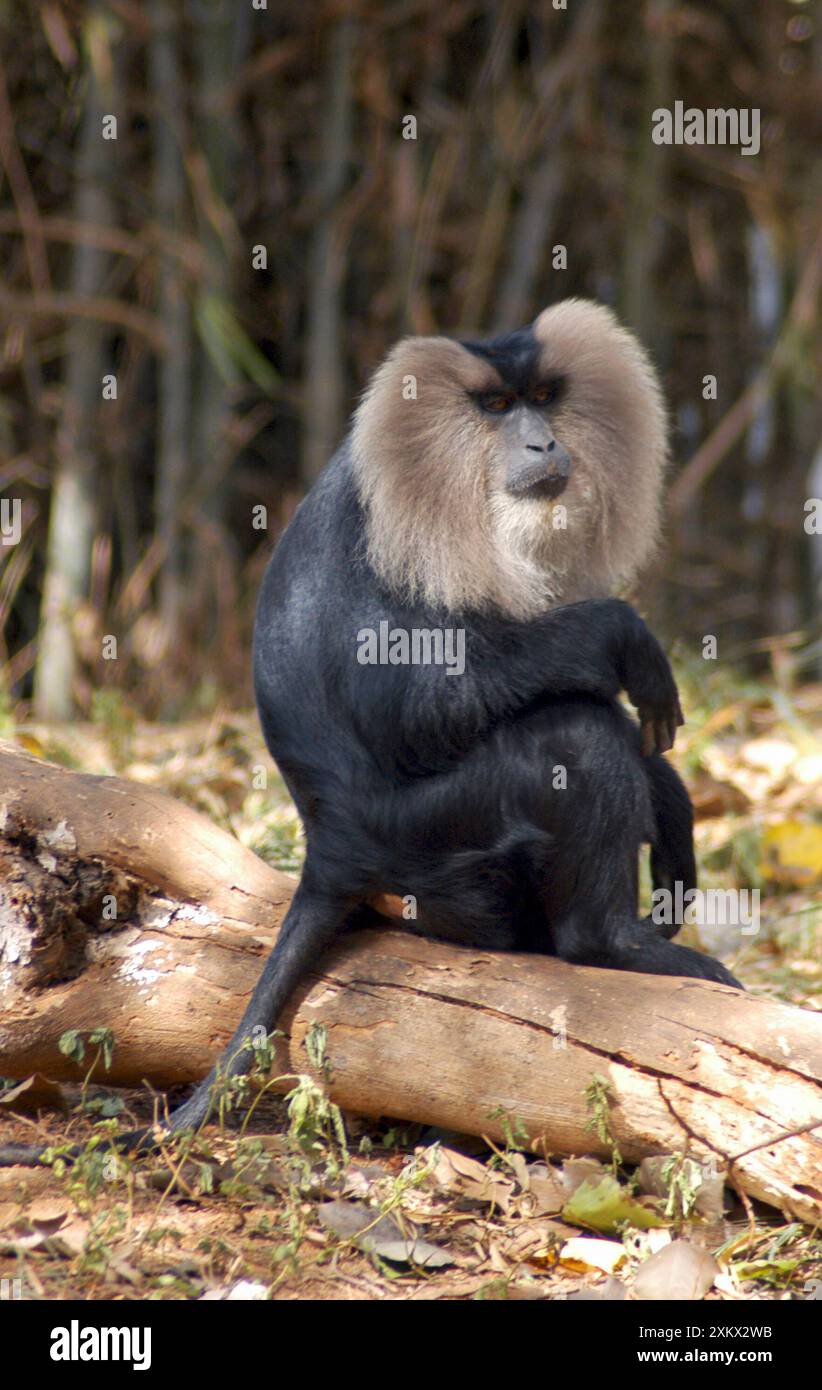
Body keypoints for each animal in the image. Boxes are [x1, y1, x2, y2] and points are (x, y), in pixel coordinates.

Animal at [0, 299, 739, 1167]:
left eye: (545, 398)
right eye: (496, 406)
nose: (542, 444)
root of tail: (330, 849)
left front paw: (673, 798)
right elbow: (415, 708)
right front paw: (627, 638)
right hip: (427, 841)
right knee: (575, 737)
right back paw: (614, 946)